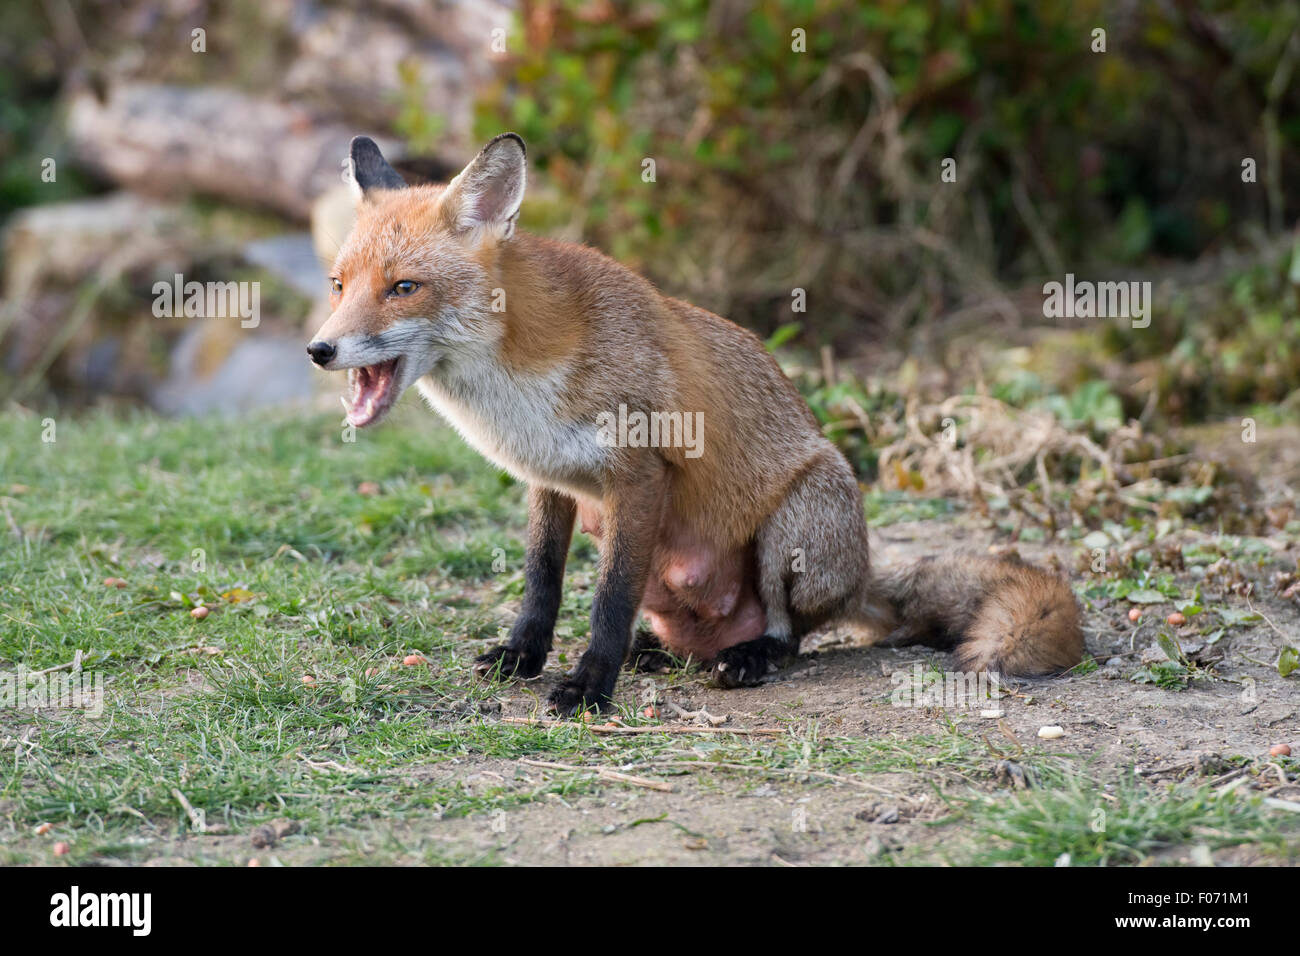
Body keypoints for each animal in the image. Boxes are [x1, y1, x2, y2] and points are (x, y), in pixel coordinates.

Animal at [307, 133, 1085, 715]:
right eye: (339, 286)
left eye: (404, 287)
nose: (319, 350)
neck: (514, 389)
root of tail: (861, 576)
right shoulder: (549, 482)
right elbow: (541, 583)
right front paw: (524, 656)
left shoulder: (639, 475)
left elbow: (609, 600)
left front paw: (589, 685)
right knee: (680, 635)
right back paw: (656, 652)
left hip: (799, 521)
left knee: (791, 632)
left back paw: (749, 657)